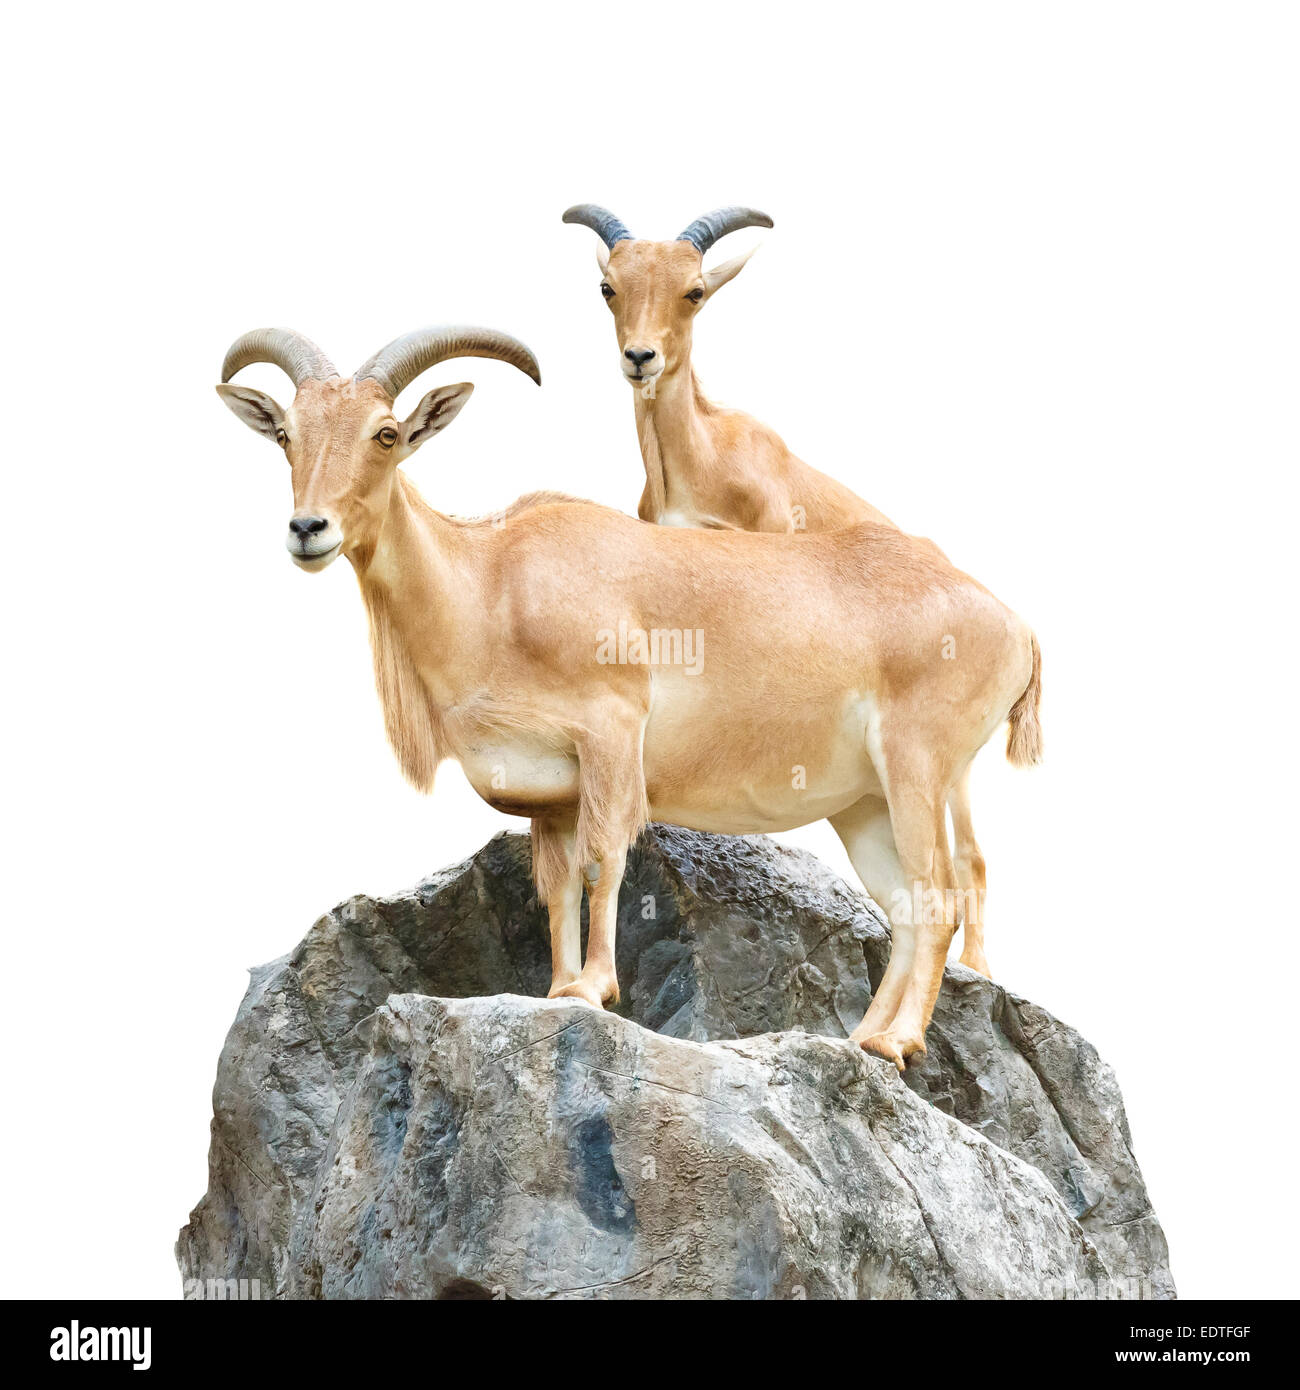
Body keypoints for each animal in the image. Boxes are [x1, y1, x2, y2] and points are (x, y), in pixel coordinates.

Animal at [217, 325, 1042, 1070]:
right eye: (287, 434)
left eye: (386, 433)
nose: (308, 529)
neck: (492, 585)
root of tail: (1017, 628)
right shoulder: (549, 791)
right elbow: (555, 885)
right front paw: (556, 988)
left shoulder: (611, 733)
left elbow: (603, 859)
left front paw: (593, 990)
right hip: (864, 803)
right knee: (903, 905)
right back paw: (865, 1039)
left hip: (916, 767)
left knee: (939, 896)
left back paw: (898, 1042)